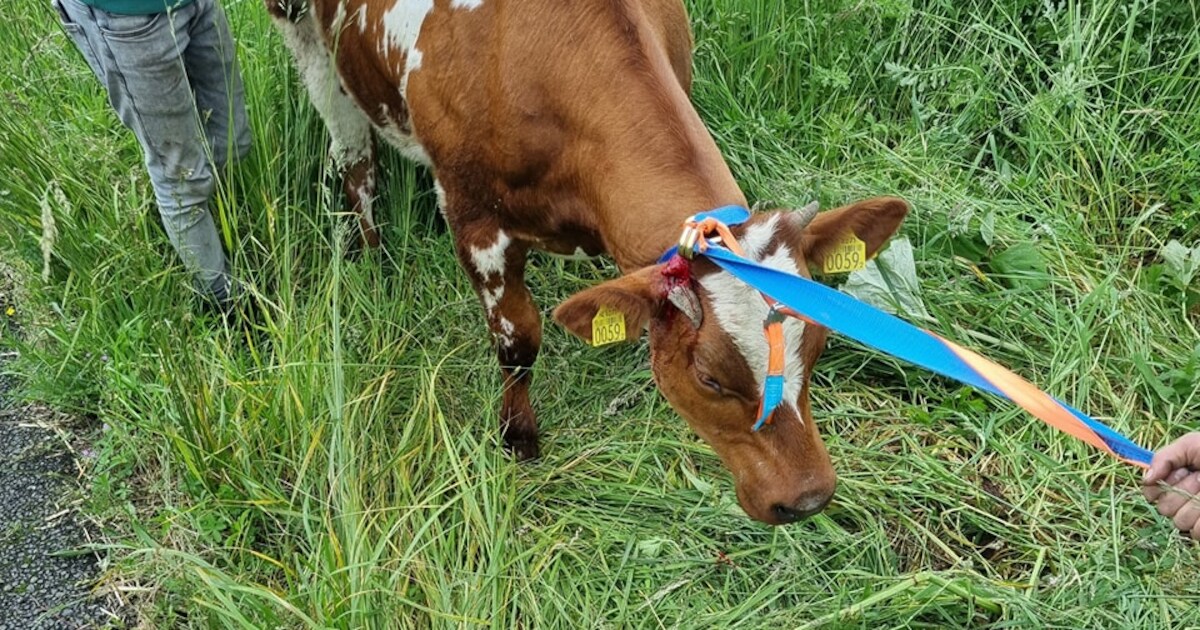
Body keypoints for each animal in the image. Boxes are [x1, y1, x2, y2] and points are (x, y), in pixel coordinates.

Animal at [265, 0, 909, 525]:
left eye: (819, 344)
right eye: (709, 377)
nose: (808, 498)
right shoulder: (473, 217)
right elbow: (519, 338)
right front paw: (519, 440)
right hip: (303, 29)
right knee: (352, 153)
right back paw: (372, 257)